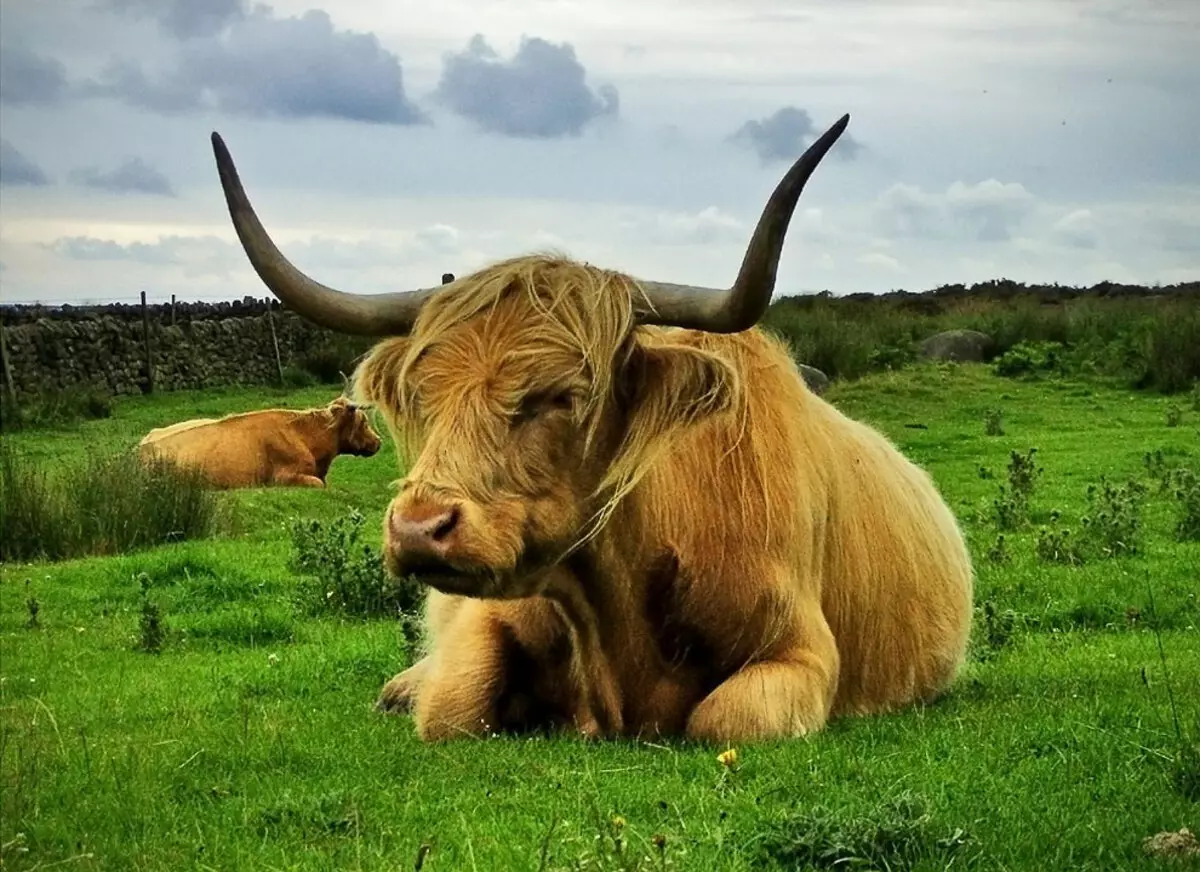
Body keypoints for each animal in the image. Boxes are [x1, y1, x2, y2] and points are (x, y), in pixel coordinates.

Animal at [208, 114, 974, 743]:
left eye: (561, 395)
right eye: (425, 393)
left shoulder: (800, 652)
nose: (419, 529)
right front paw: (417, 694)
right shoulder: (488, 621)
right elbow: (452, 708)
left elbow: (727, 720)